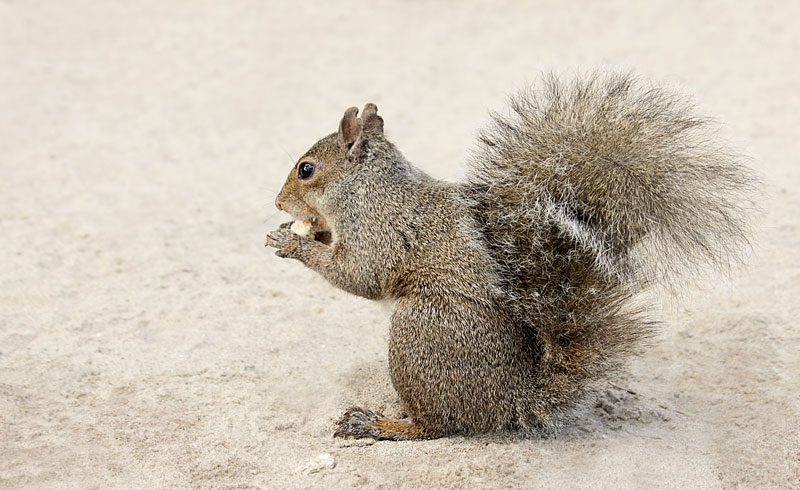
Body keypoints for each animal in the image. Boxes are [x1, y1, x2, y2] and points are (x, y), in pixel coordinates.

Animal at [265, 73, 758, 440]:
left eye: (306, 170)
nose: (277, 202)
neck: (367, 187)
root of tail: (512, 400)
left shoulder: (379, 231)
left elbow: (359, 275)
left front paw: (293, 244)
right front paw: (302, 232)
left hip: (418, 331)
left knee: (435, 425)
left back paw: (380, 424)